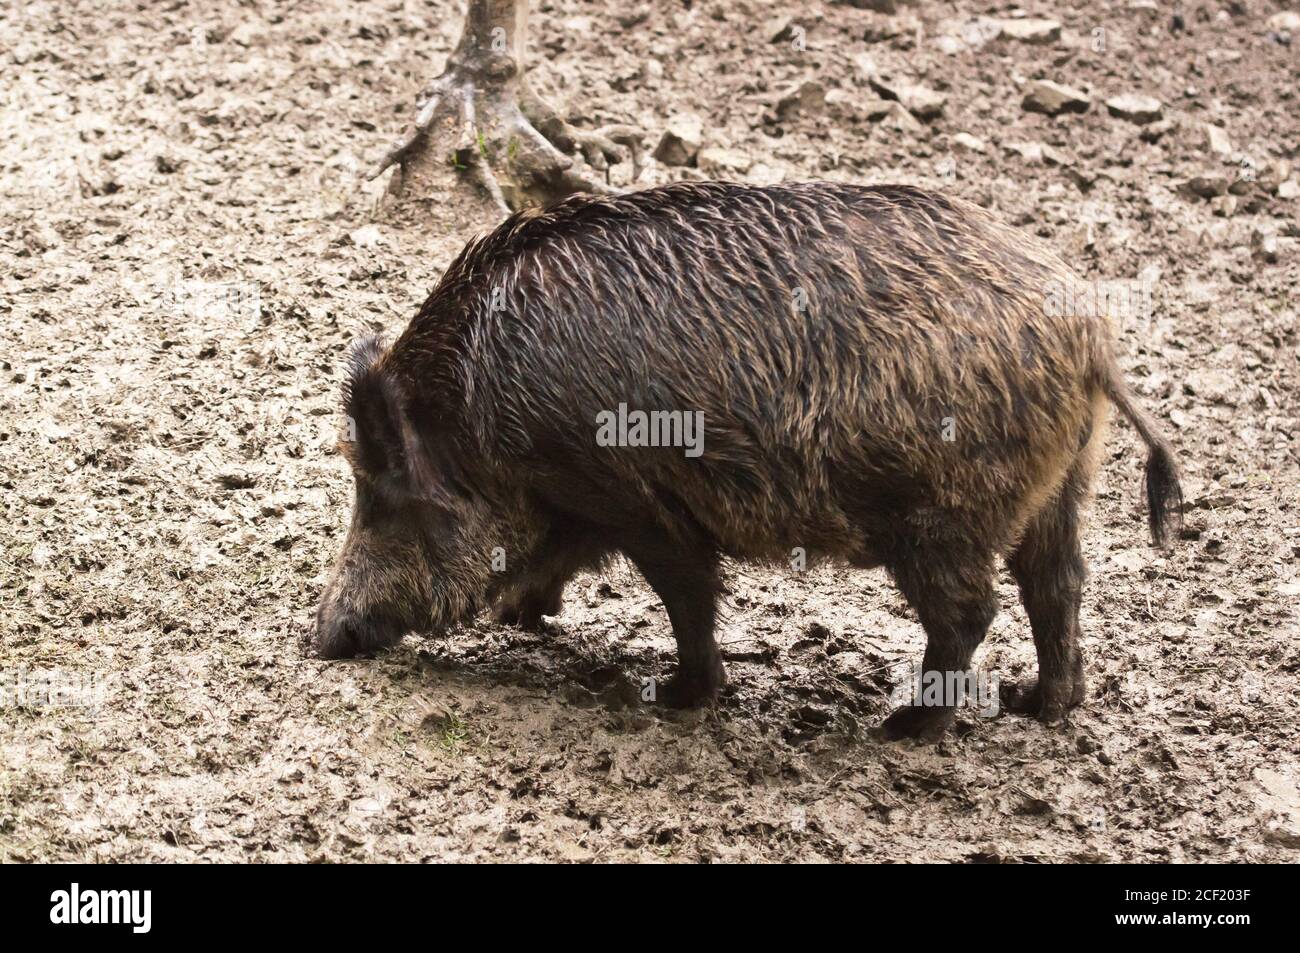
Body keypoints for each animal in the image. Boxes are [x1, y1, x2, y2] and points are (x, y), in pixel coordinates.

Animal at [314, 181, 1181, 741]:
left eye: (381, 493)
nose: (320, 638)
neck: (479, 413)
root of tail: (1089, 335)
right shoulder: (584, 503)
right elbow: (564, 558)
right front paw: (520, 617)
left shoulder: (638, 499)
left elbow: (686, 595)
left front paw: (679, 697)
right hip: (1063, 486)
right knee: (1057, 586)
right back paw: (1041, 704)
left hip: (943, 513)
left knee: (973, 612)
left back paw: (903, 728)